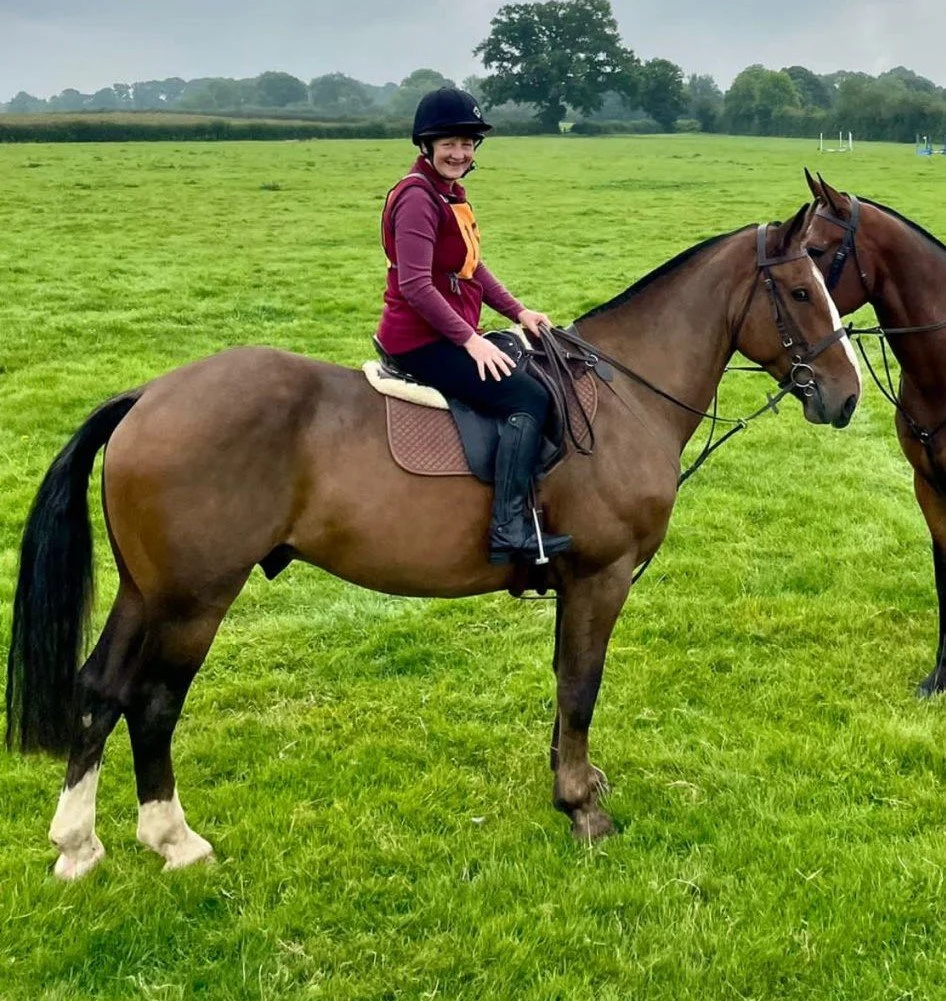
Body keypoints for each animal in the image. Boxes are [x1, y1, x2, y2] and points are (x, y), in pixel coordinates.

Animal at [5, 205, 861, 880]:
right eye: (798, 291)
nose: (848, 397)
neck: (622, 397)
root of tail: (148, 394)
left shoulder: (574, 583)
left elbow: (562, 682)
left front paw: (571, 781)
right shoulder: (601, 576)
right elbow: (582, 686)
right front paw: (582, 809)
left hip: (147, 591)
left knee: (99, 689)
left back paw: (78, 843)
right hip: (195, 598)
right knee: (152, 702)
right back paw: (174, 839)